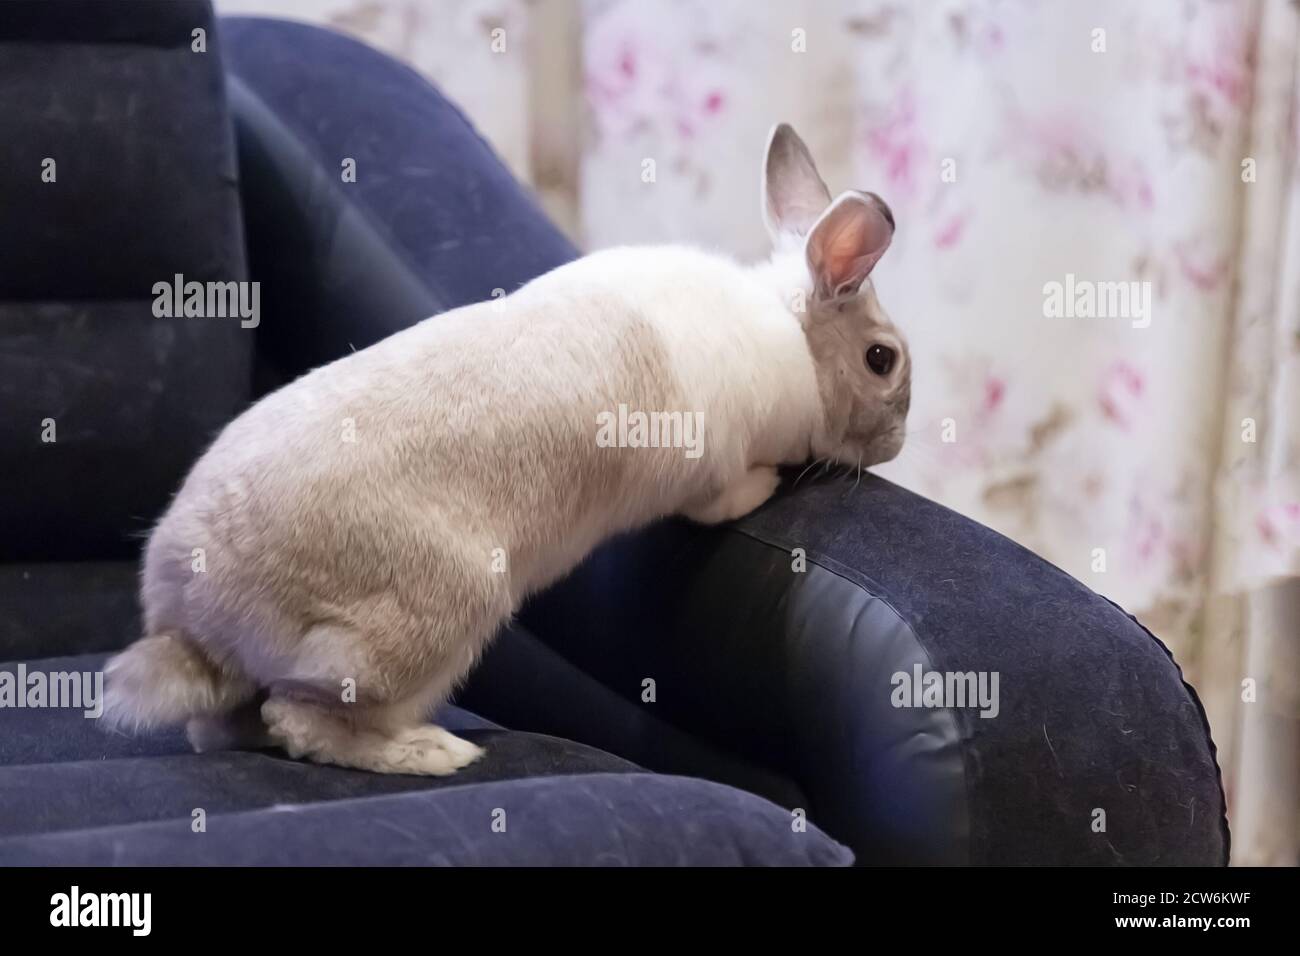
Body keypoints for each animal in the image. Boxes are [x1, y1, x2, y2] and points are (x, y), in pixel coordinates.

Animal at [101, 123, 910, 775]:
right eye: (882, 360)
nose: (899, 440)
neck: (791, 331)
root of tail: (190, 618)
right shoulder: (709, 469)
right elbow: (723, 498)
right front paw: (768, 486)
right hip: (425, 620)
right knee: (306, 720)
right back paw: (431, 754)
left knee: (225, 728)